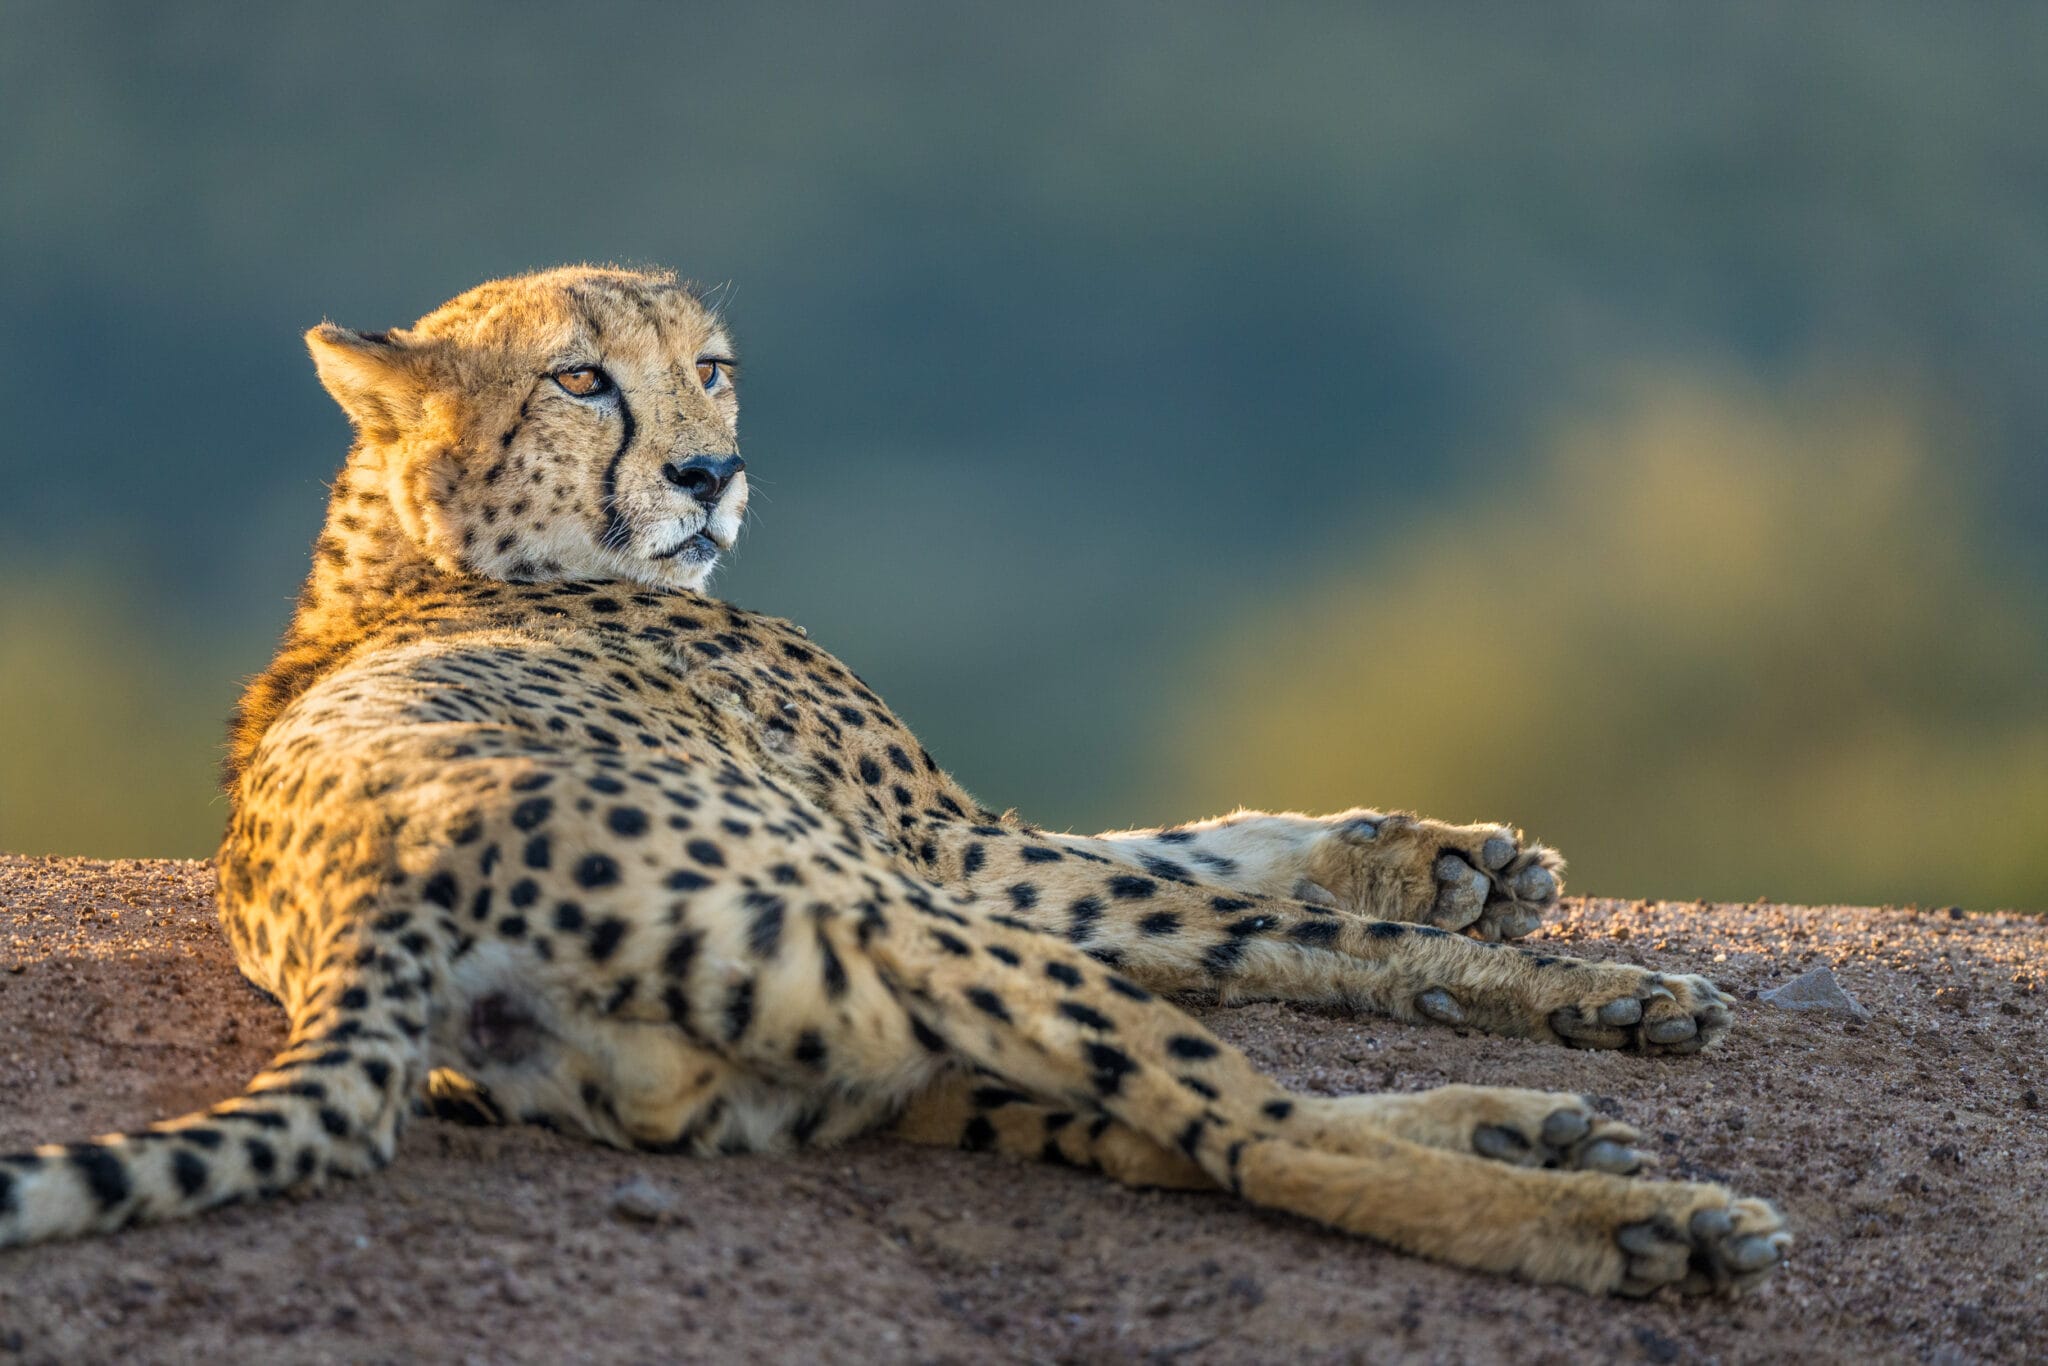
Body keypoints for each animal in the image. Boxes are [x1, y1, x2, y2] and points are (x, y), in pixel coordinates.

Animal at [0, 265, 1788, 1297]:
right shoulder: (953, 856)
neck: (415, 557)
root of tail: (376, 908)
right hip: (911, 937)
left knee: (1152, 1125)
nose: (710, 469)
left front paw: (1454, 858)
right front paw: (1608, 986)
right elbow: (1271, 926)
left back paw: (1530, 1131)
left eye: (712, 366)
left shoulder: (956, 842)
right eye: (580, 378)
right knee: (1254, 1135)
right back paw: (1636, 1217)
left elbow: (1213, 853)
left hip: (835, 1052)